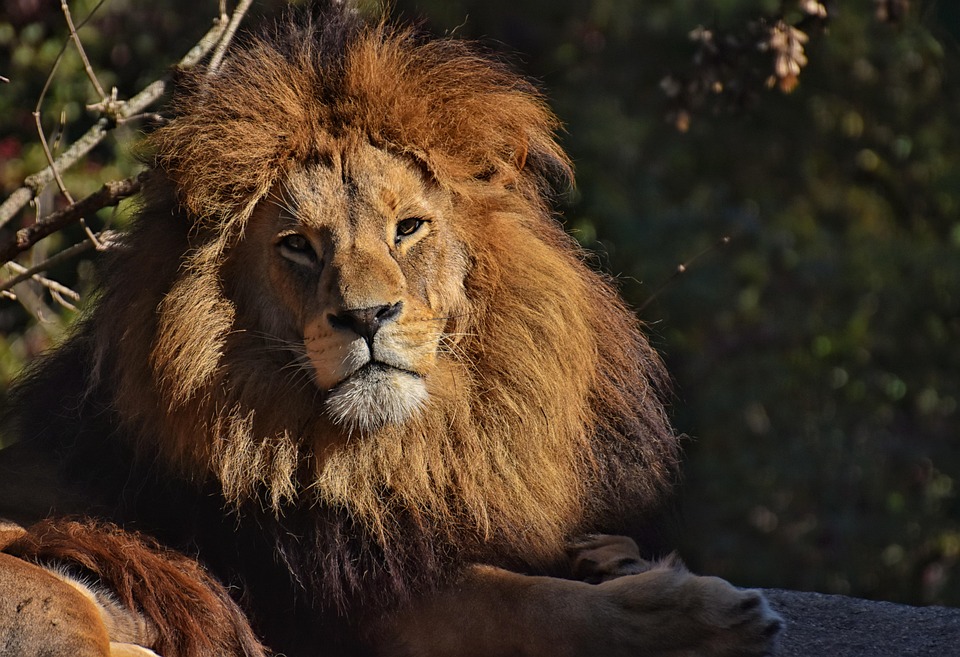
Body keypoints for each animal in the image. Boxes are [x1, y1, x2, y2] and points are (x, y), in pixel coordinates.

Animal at [0, 4, 782, 656]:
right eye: (298, 246)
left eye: (407, 228)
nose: (367, 316)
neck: (405, 450)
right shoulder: (357, 602)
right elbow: (530, 603)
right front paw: (703, 615)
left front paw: (611, 555)